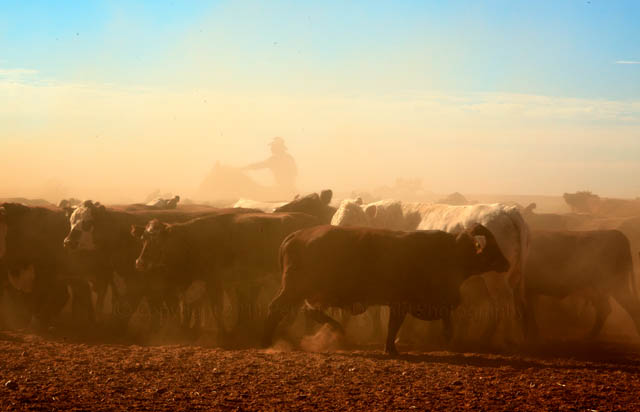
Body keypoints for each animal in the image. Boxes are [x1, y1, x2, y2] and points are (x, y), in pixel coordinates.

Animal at [132, 212, 321, 341]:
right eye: (143, 239)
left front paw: (223, 335)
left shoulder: (214, 281)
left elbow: (216, 309)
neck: (191, 241)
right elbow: (186, 307)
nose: (140, 262)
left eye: (158, 241)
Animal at [262, 224, 510, 355]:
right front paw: (392, 348)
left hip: (309, 293)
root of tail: (297, 235)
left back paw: (337, 330)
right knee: (275, 308)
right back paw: (267, 342)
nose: (506, 263)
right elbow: (396, 325)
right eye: (492, 247)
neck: (449, 254)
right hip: (294, 289)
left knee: (309, 311)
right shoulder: (406, 302)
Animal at [331, 199, 530, 344]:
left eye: (350, 222)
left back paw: (493, 340)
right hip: (513, 277)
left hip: (496, 278)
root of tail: (507, 210)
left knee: (503, 305)